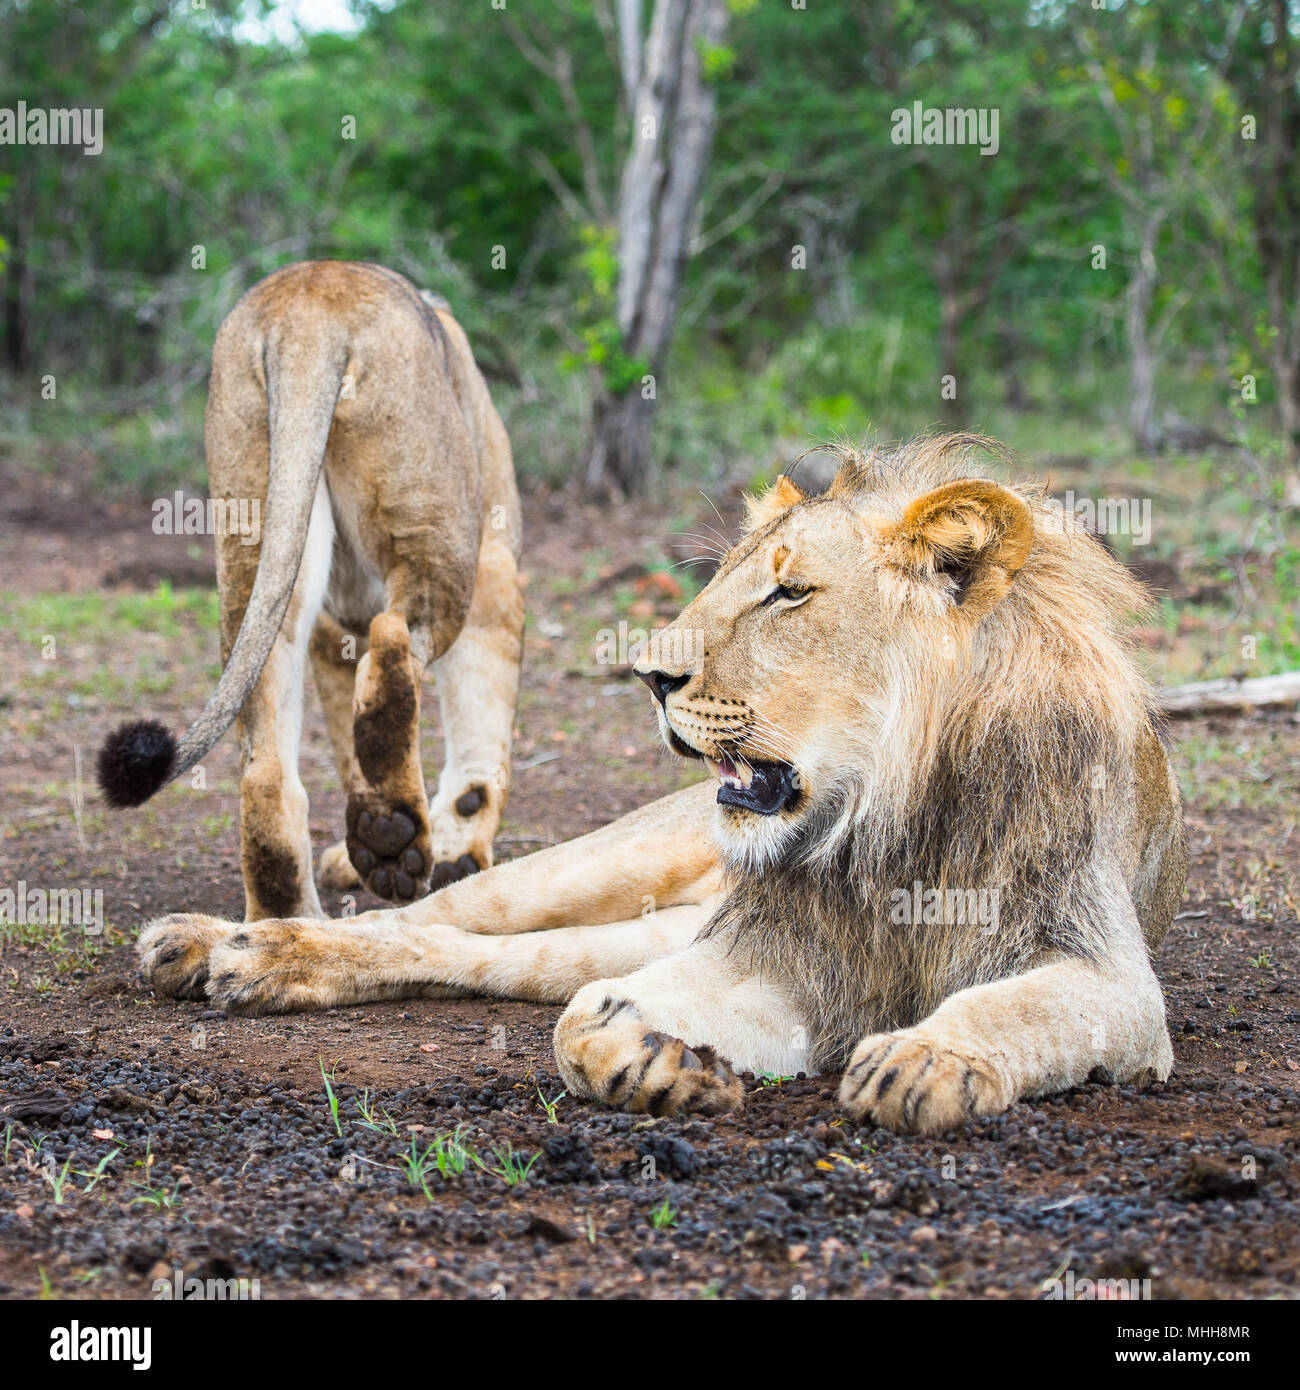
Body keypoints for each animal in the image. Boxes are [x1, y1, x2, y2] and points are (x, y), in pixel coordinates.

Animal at [97, 261, 525, 918]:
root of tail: (307, 305)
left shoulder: (329, 628)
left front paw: (360, 859)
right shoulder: (496, 566)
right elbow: (479, 748)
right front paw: (453, 856)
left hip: (256, 519)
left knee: (266, 761)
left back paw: (290, 914)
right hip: (439, 527)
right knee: (393, 639)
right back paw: (392, 833)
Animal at [137, 434, 1187, 1136]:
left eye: (789, 592)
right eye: (727, 580)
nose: (648, 674)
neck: (890, 822)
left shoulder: (1108, 972)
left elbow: (1018, 1005)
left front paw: (927, 1056)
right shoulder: (779, 955)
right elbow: (577, 1025)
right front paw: (652, 1060)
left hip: (643, 924)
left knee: (483, 955)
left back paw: (241, 956)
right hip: (592, 866)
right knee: (431, 918)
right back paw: (228, 945)